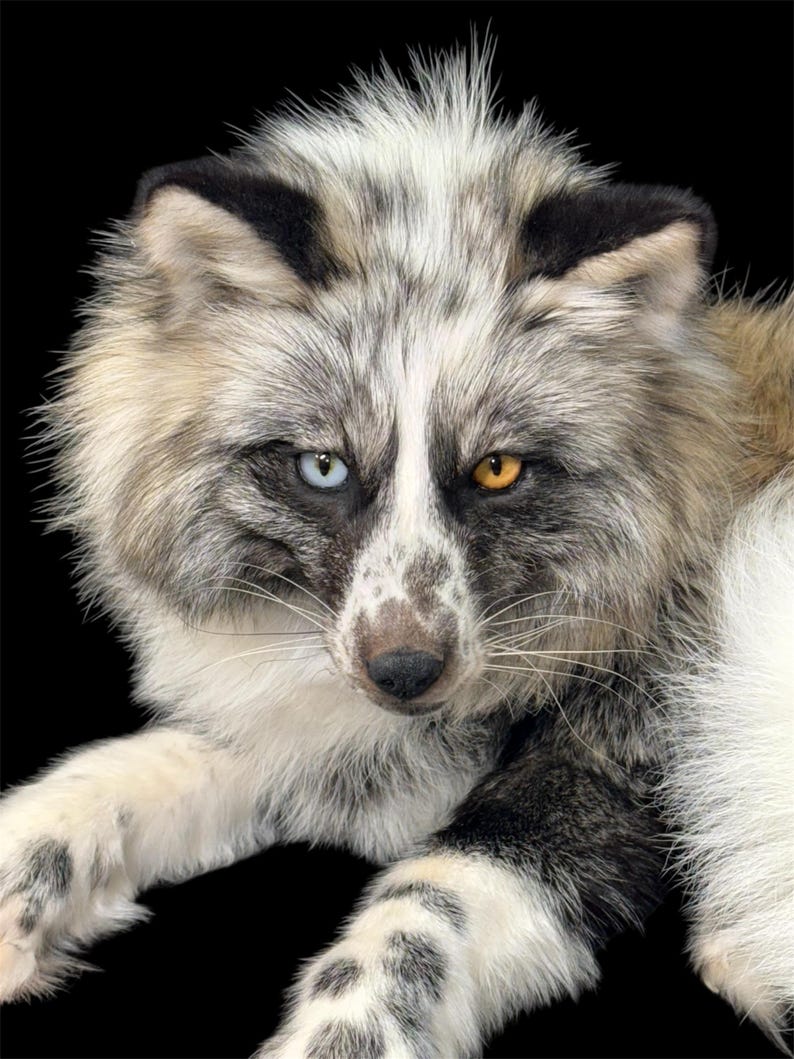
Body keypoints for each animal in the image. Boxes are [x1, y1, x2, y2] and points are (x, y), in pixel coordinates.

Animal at [1, 47, 792, 1058]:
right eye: (324, 466)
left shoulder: (612, 767)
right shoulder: (333, 739)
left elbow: (414, 924)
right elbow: (100, 783)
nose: (407, 670)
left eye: (496, 468)